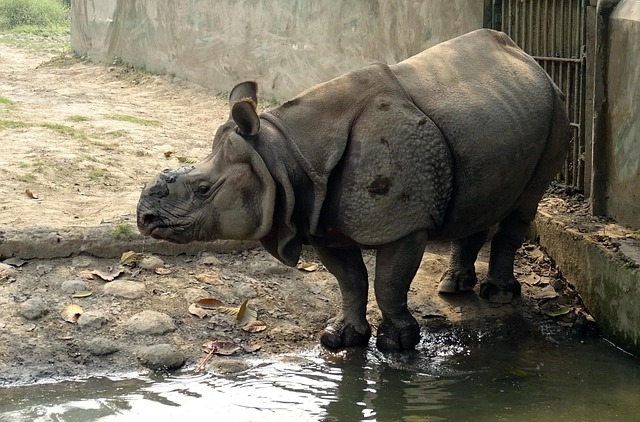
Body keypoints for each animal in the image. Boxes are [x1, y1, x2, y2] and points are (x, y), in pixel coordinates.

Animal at [137, 29, 570, 352]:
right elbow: (350, 280)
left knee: (524, 204)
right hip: (494, 115)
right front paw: (341, 339)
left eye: (203, 188)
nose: (144, 218)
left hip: (557, 108)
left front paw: (398, 344)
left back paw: (498, 296)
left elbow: (388, 282)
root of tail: (529, 58)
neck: (284, 157)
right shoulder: (317, 218)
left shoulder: (404, 224)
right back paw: (453, 287)